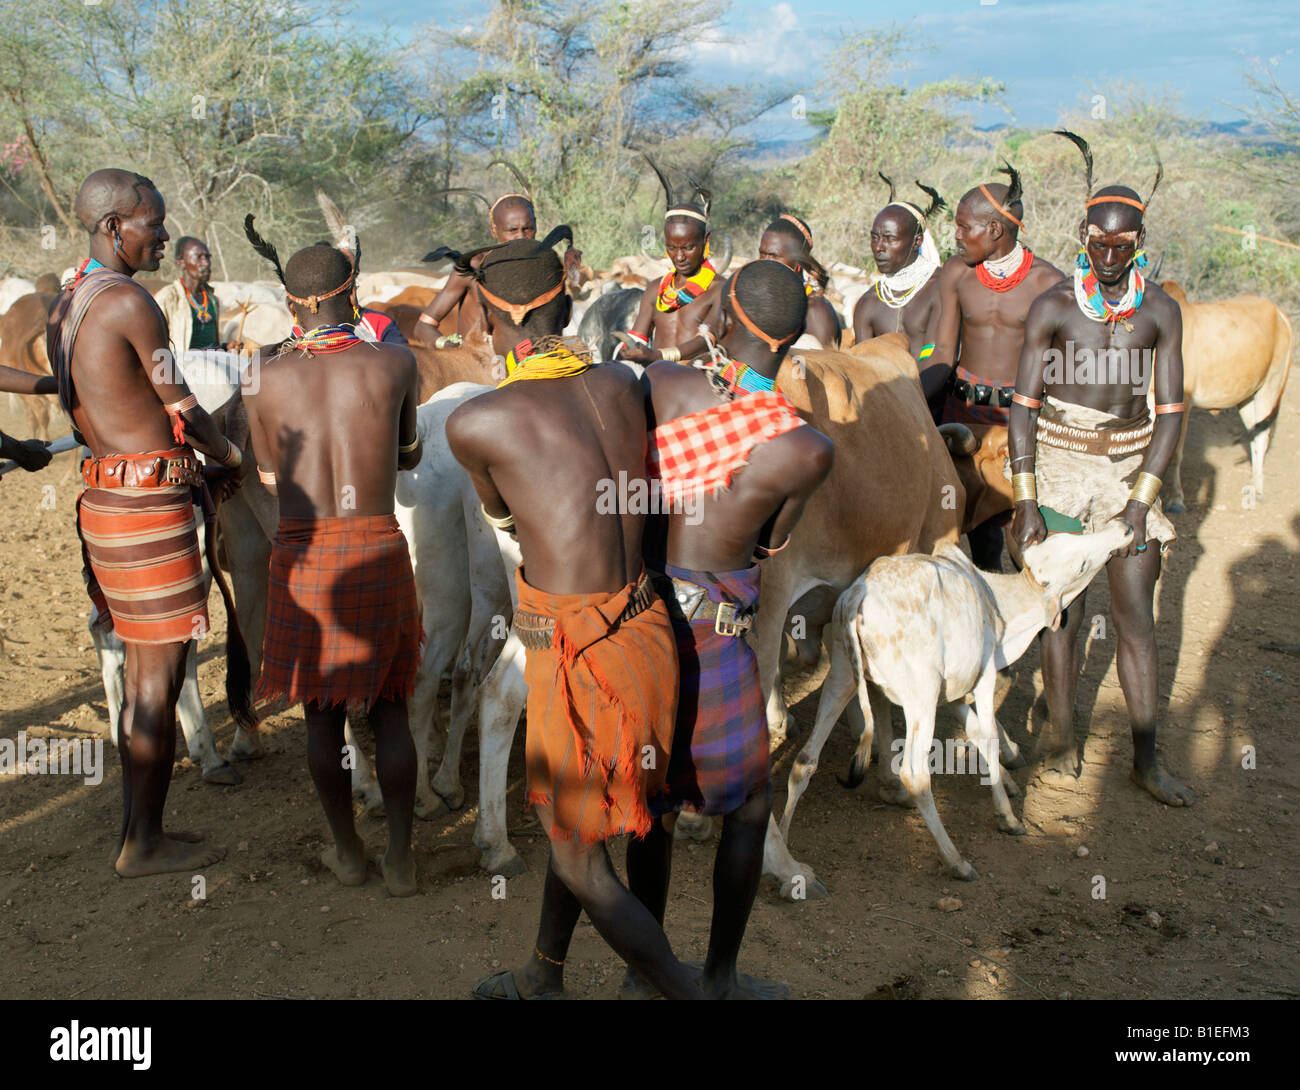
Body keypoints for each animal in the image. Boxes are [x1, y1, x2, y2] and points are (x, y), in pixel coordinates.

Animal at [779, 520, 1132, 881]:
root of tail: (855, 599)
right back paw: (956, 860)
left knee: (805, 760)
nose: (1123, 527)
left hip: (842, 677)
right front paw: (1008, 816)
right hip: (921, 695)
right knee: (915, 774)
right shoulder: (984, 677)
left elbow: (974, 731)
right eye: (1082, 565)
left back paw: (785, 854)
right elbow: (987, 736)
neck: (997, 603)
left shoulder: (950, 693)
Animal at [1159, 281, 1293, 513]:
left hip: (1270, 386)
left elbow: (1175, 452)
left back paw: (1257, 489)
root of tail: (1278, 311)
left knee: (1262, 437)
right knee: (1254, 434)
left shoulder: (1182, 401)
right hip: (1247, 397)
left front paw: (1176, 499)